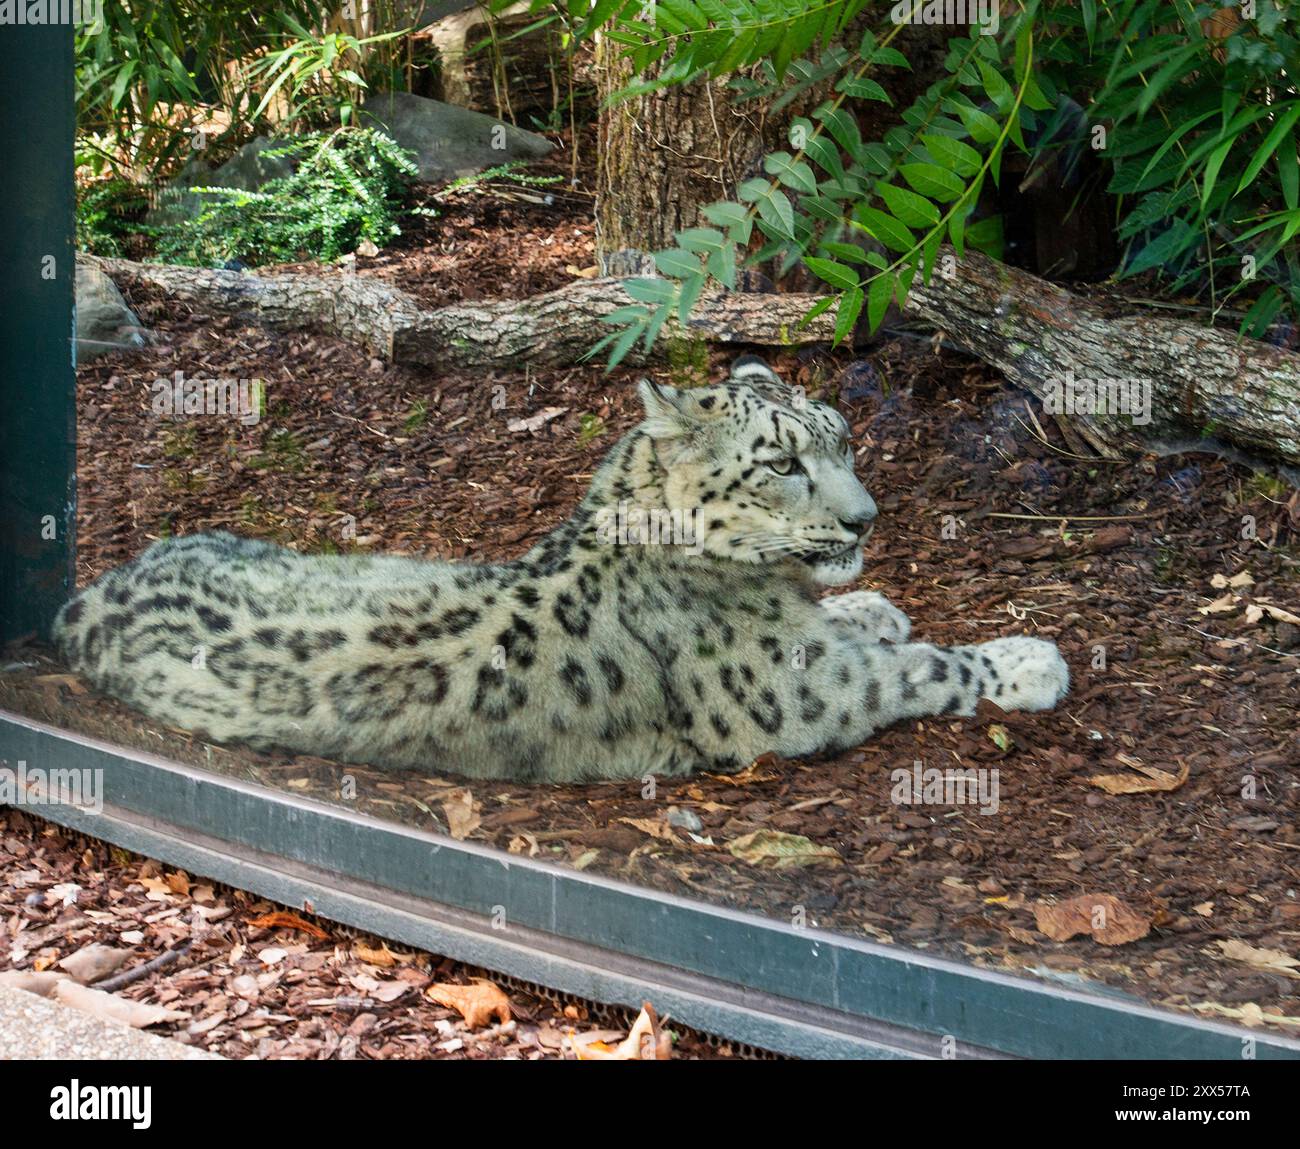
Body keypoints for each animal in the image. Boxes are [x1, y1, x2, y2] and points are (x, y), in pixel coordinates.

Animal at [52, 356, 1069, 783]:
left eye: (845, 439)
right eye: (783, 462)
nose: (866, 518)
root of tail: (89, 596)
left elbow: (860, 626)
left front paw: (874, 603)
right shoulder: (796, 694)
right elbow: (918, 669)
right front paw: (1027, 661)